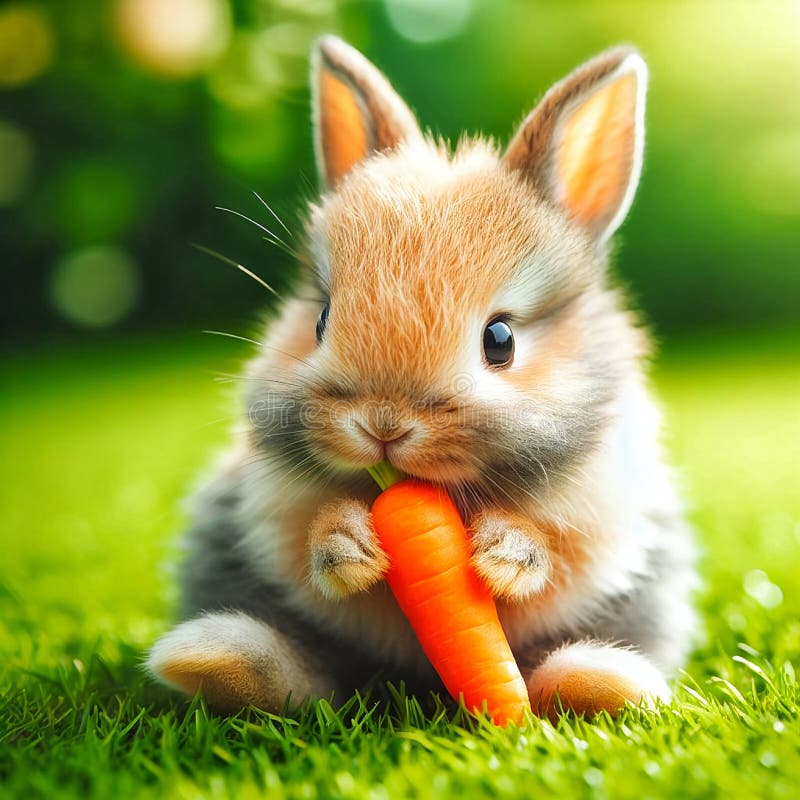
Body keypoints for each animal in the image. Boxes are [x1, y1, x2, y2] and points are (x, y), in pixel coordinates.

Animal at [147, 35, 697, 720]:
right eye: (321, 318)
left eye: (500, 340)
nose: (382, 425)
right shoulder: (273, 501)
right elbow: (311, 536)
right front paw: (350, 548)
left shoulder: (596, 513)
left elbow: (552, 548)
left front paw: (503, 558)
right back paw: (214, 663)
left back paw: (602, 682)